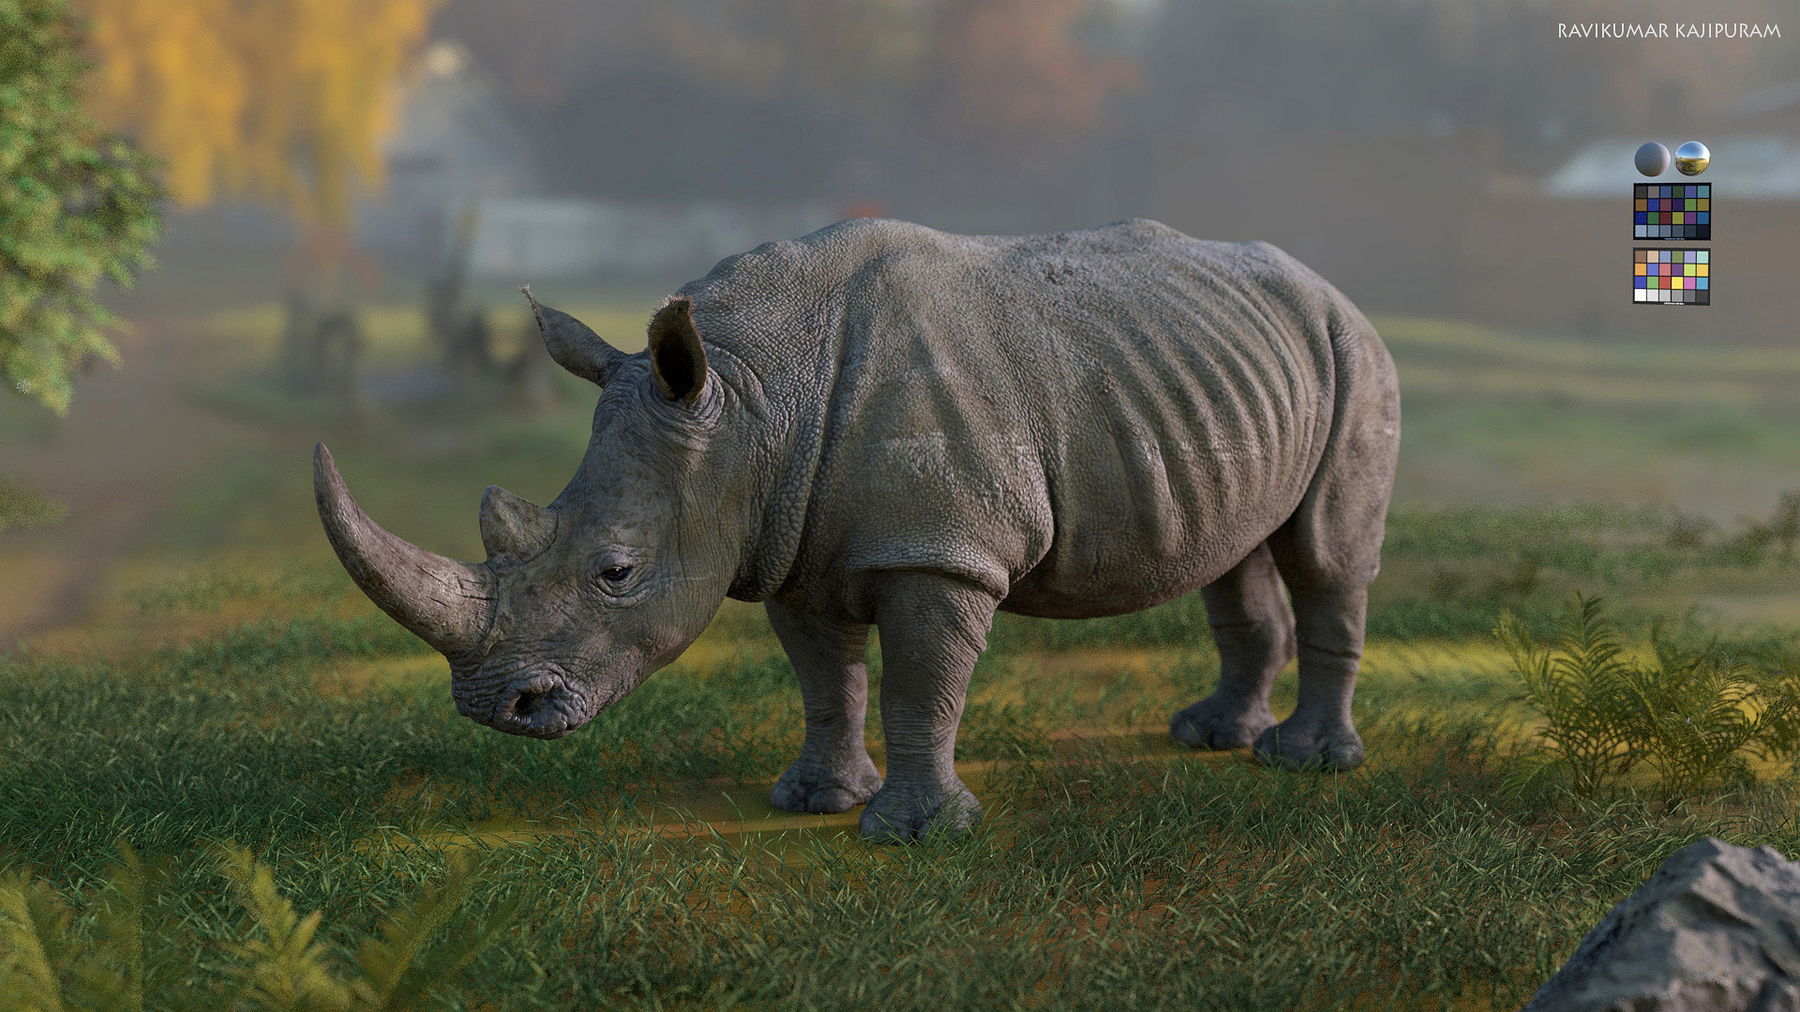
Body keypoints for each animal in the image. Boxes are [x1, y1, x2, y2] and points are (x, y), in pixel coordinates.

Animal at [314, 217, 1400, 842]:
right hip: (1227, 368)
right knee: (1236, 548)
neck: (747, 396)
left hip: (1354, 350)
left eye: (616, 571)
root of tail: (1328, 284)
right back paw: (1211, 736)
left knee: (1324, 553)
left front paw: (917, 834)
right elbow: (825, 680)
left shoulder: (941, 554)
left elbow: (924, 683)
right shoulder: (784, 537)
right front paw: (812, 801)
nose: (498, 708)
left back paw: (1306, 764)